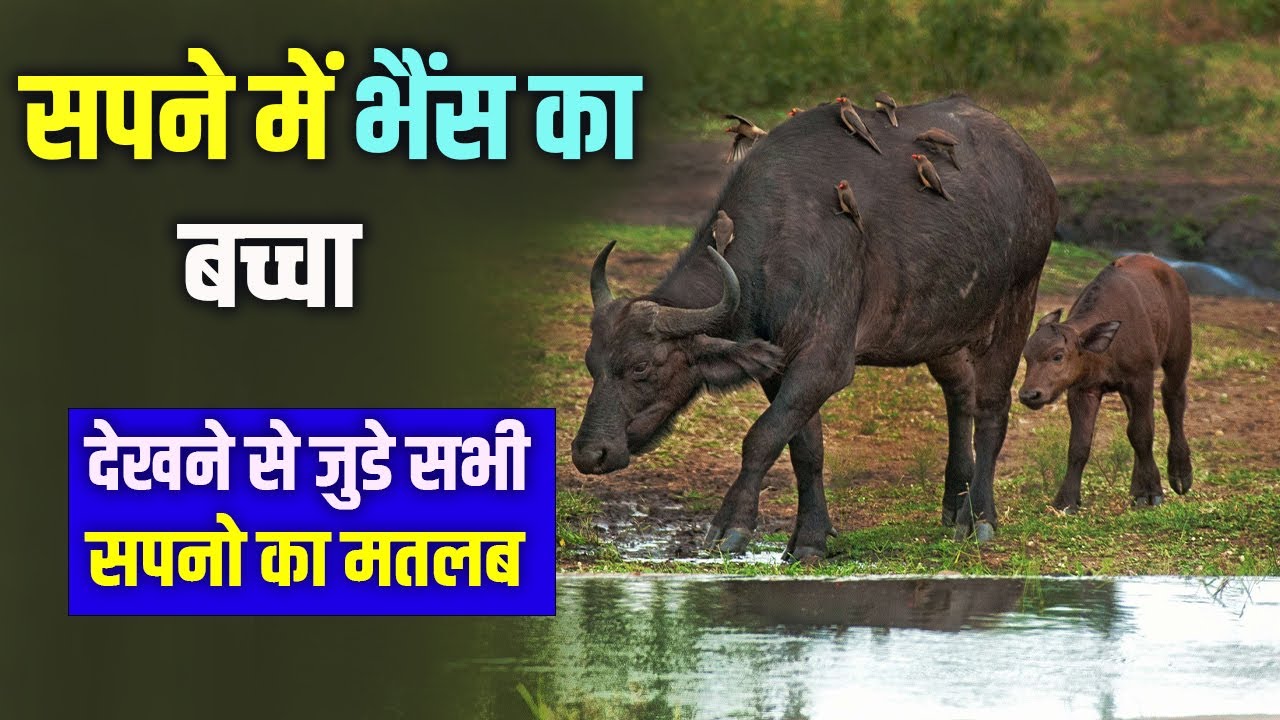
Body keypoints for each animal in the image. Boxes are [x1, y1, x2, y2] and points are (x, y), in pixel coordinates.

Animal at [571, 95, 1059, 561]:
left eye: (641, 367)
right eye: (593, 365)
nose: (589, 454)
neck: (776, 245)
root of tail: (1033, 168)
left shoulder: (824, 363)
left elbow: (761, 437)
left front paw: (731, 526)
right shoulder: (778, 367)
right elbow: (804, 449)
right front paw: (810, 539)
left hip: (1018, 301)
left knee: (992, 408)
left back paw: (979, 517)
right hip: (942, 329)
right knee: (960, 394)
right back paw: (954, 502)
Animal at [1018, 254, 1194, 512]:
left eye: (1057, 356)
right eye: (1026, 356)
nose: (1029, 394)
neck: (1106, 348)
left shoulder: (1140, 378)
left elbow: (1141, 433)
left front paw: (1151, 492)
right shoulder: (1082, 390)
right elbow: (1079, 444)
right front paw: (1066, 500)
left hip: (1178, 352)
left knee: (1173, 397)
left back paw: (1180, 474)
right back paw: (1137, 486)